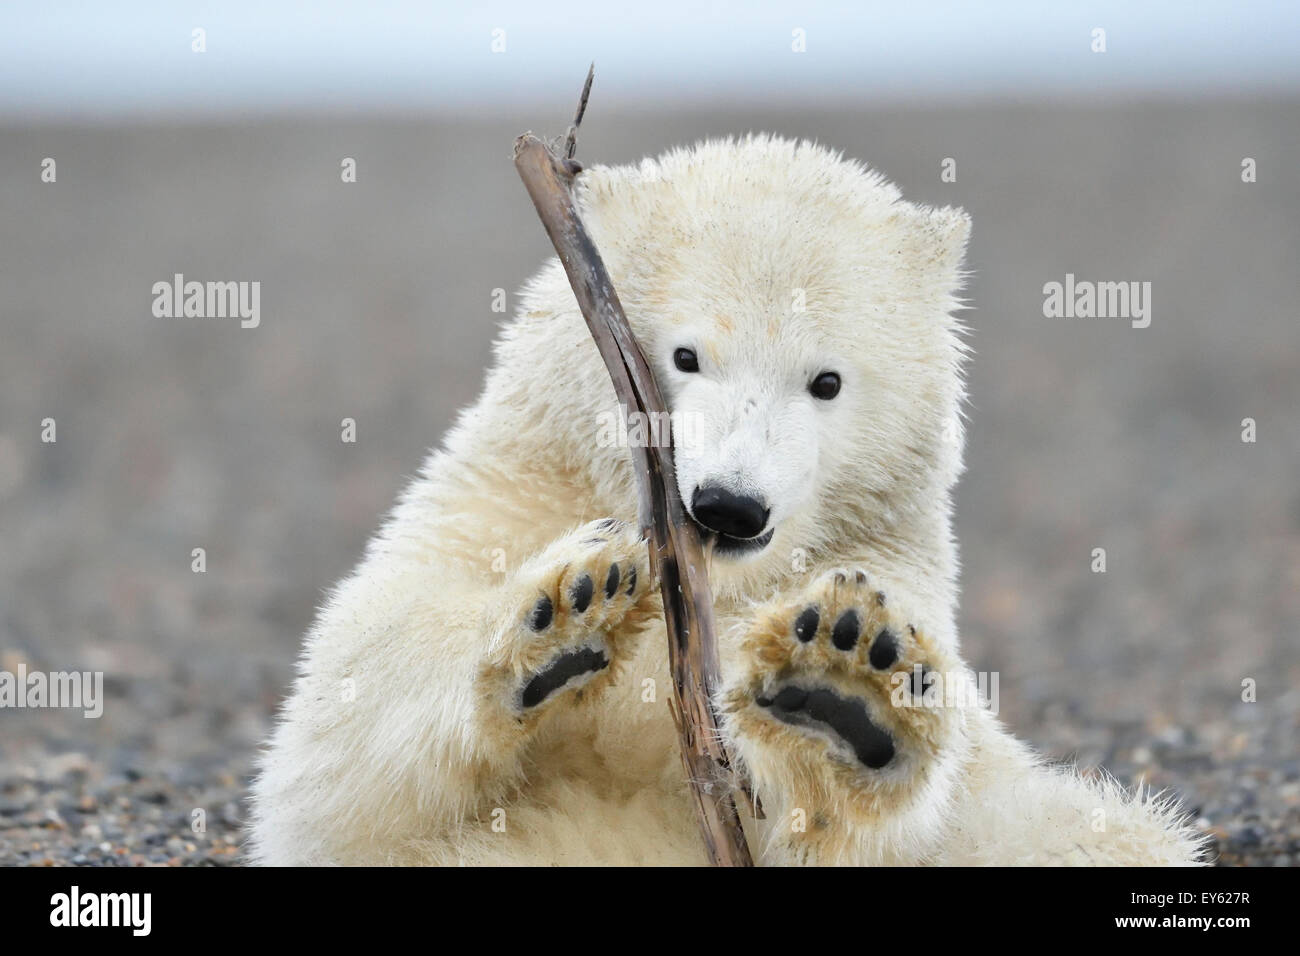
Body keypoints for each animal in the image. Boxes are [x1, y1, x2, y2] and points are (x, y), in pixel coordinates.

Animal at [247, 135, 1206, 866]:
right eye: (685, 356)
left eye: (826, 380)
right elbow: (335, 744)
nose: (728, 506)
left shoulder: (892, 559)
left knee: (1099, 833)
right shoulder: (511, 489)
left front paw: (842, 675)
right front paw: (570, 604)